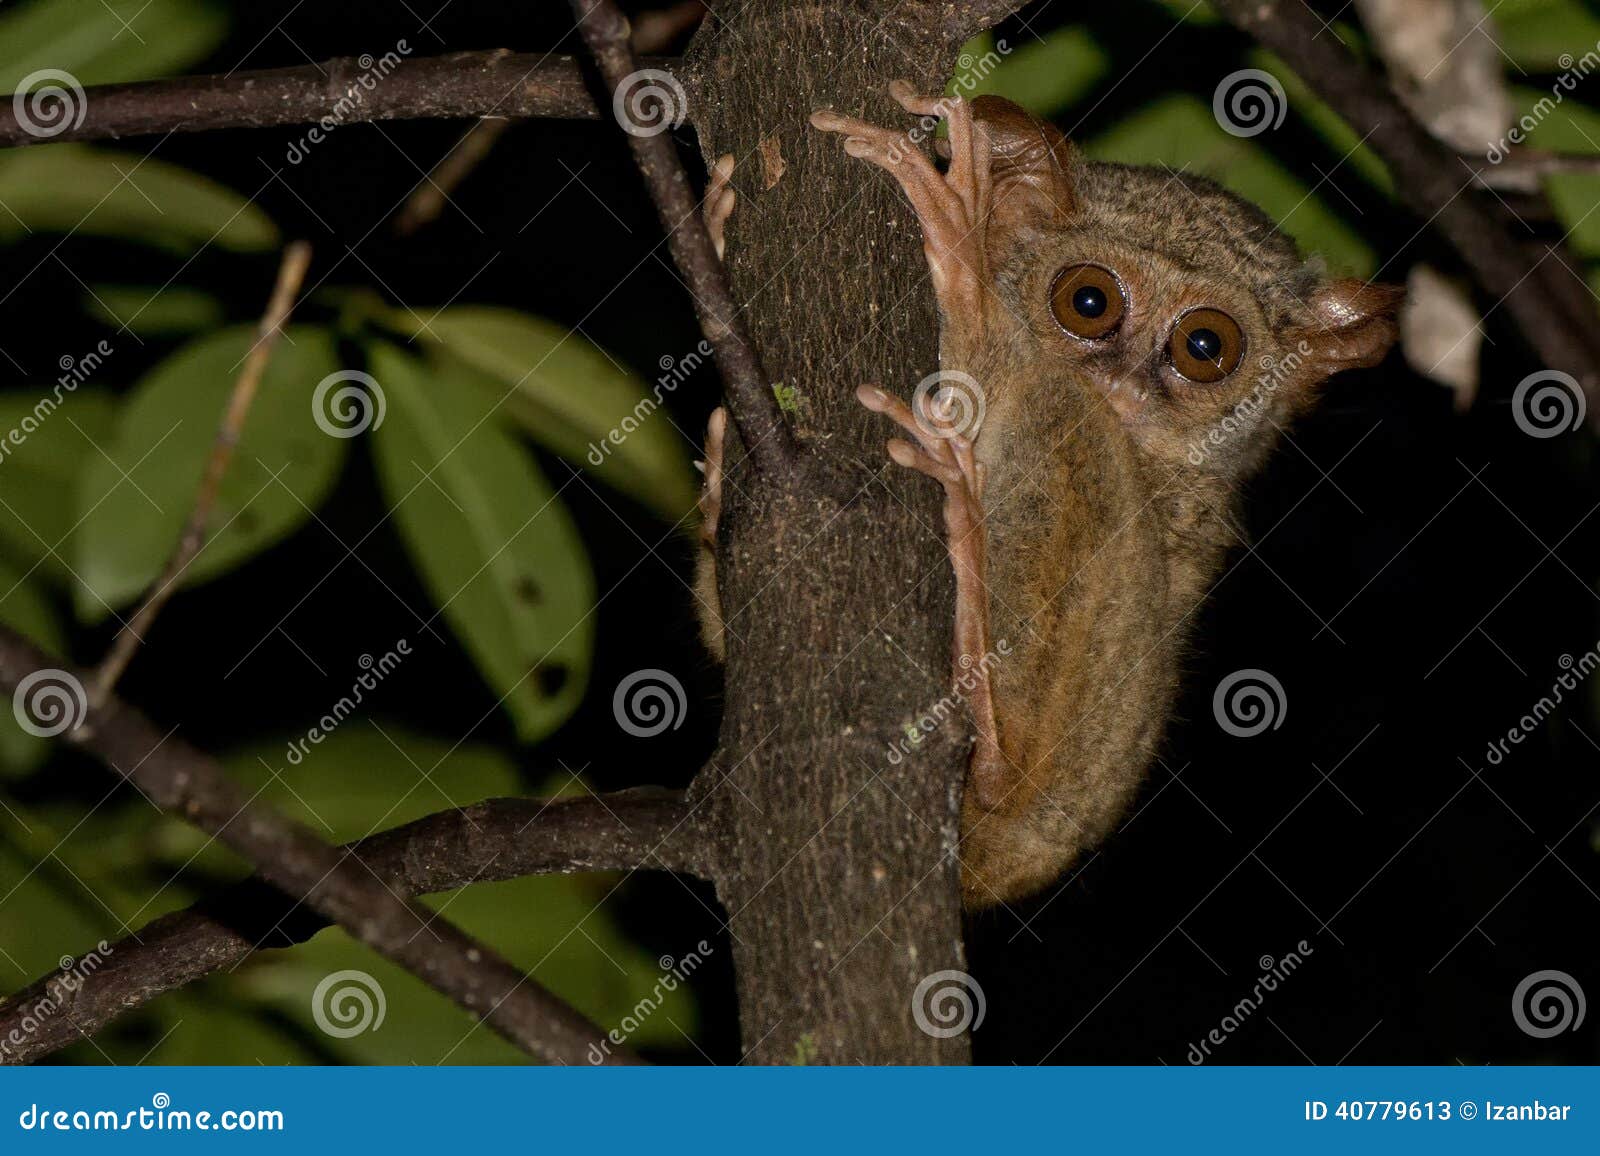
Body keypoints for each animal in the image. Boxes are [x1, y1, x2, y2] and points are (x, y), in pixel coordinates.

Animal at [695, 86, 1401, 909]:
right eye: (1088, 302)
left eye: (1205, 348)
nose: (1125, 387)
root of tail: (993, 870)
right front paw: (712, 236)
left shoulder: (1175, 492)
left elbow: (999, 368)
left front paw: (960, 253)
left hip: (1066, 757)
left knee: (1063, 408)